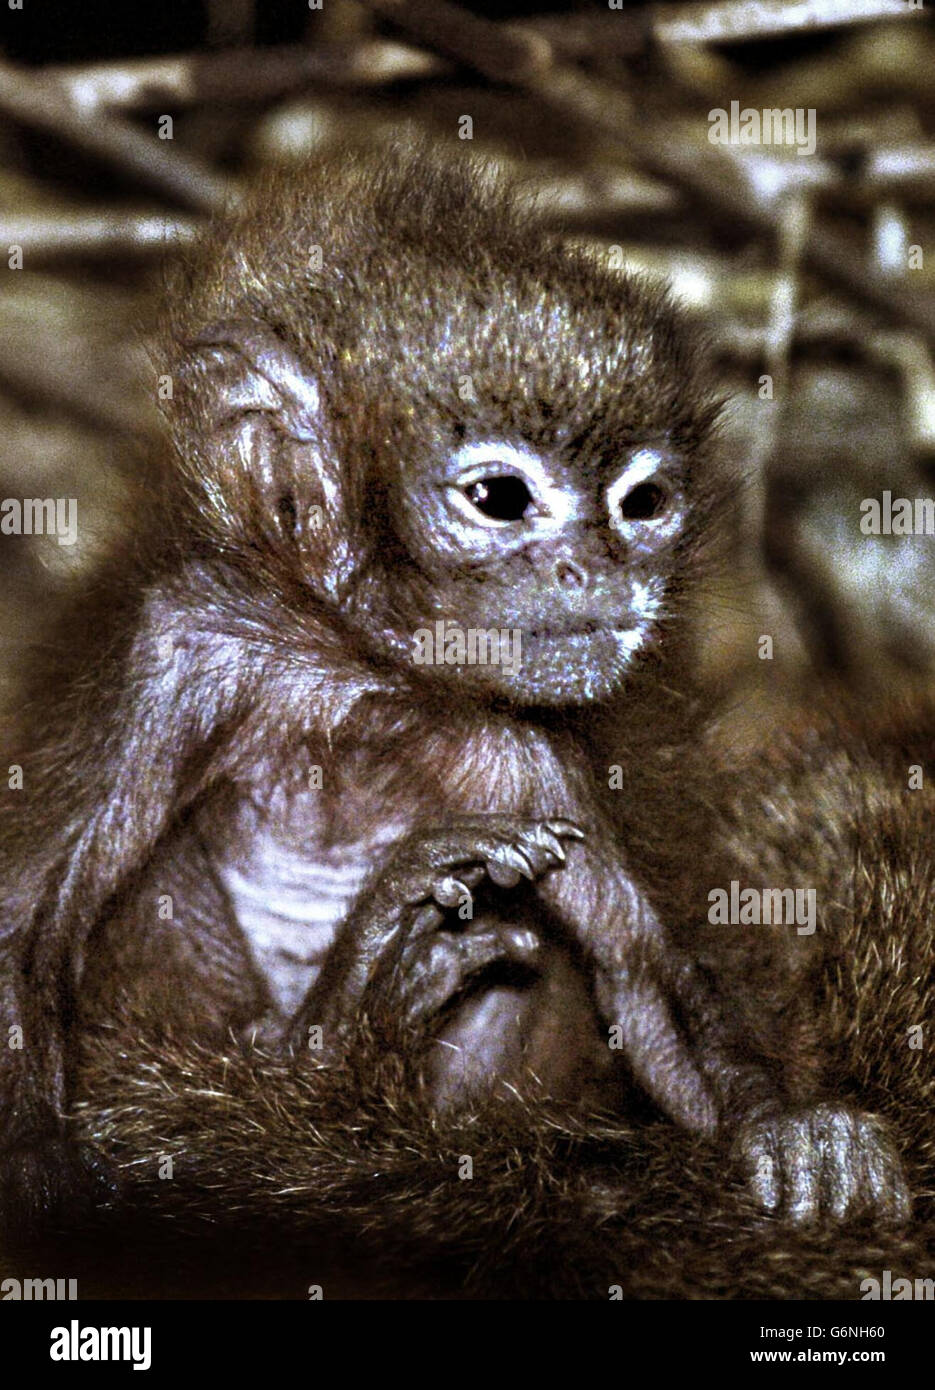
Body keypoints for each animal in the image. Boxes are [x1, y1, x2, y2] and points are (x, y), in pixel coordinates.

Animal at [0, 147, 913, 1282]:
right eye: (499, 497)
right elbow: (28, 921)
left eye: (641, 503)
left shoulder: (545, 749)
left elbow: (650, 987)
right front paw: (36, 1166)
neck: (371, 678)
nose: (603, 571)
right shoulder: (171, 648)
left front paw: (789, 1126)